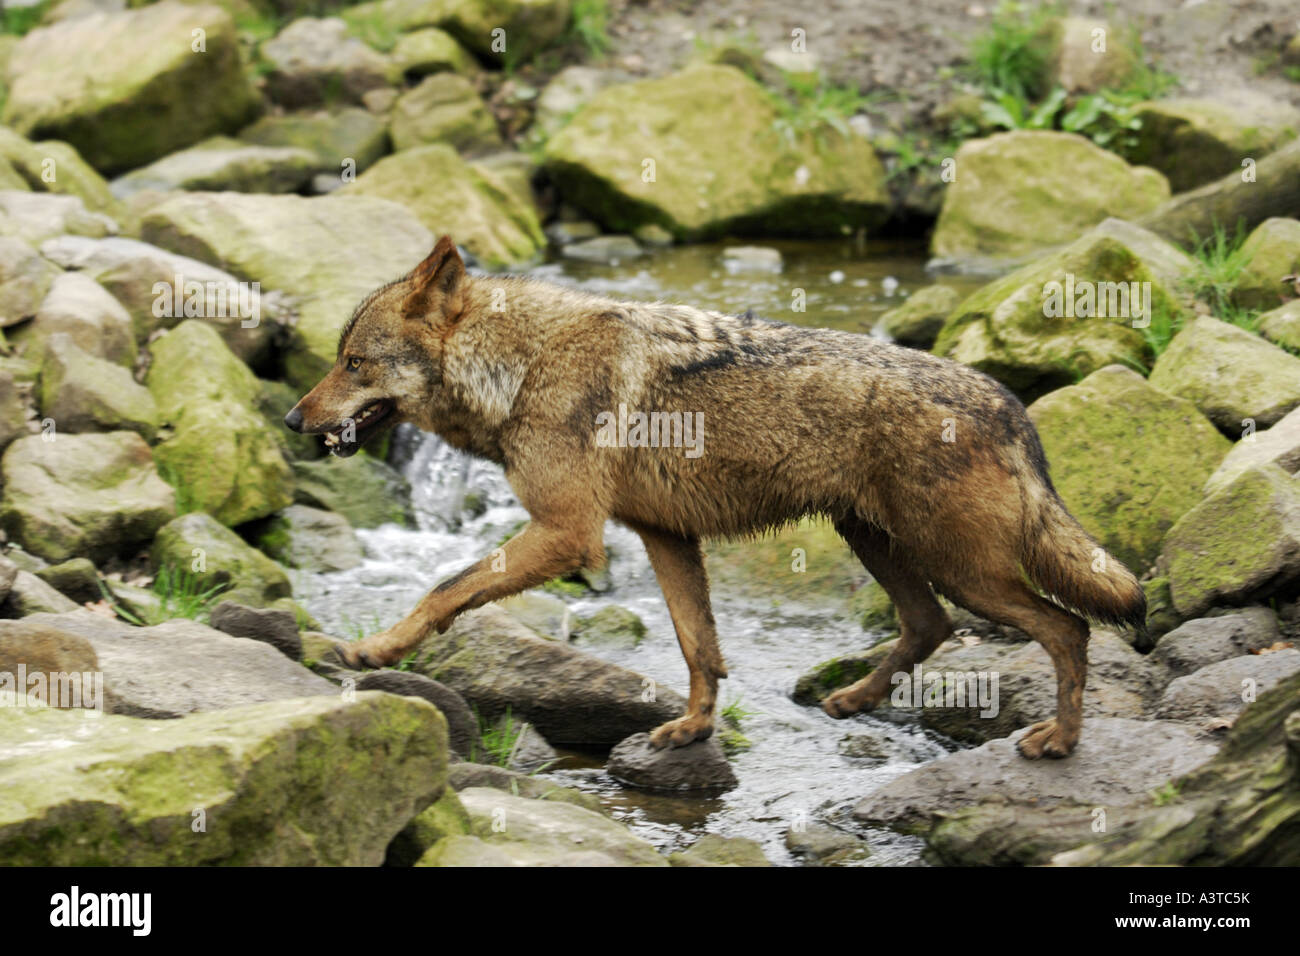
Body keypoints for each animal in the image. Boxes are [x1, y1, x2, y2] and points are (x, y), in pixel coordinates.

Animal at [286, 236, 1146, 759]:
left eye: (354, 362)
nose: (293, 419)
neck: (521, 365)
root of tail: (1010, 404)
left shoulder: (567, 533)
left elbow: (443, 588)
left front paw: (377, 651)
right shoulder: (664, 536)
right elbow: (699, 647)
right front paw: (695, 728)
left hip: (962, 569)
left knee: (1067, 629)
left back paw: (1057, 742)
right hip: (881, 544)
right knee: (930, 626)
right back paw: (851, 701)